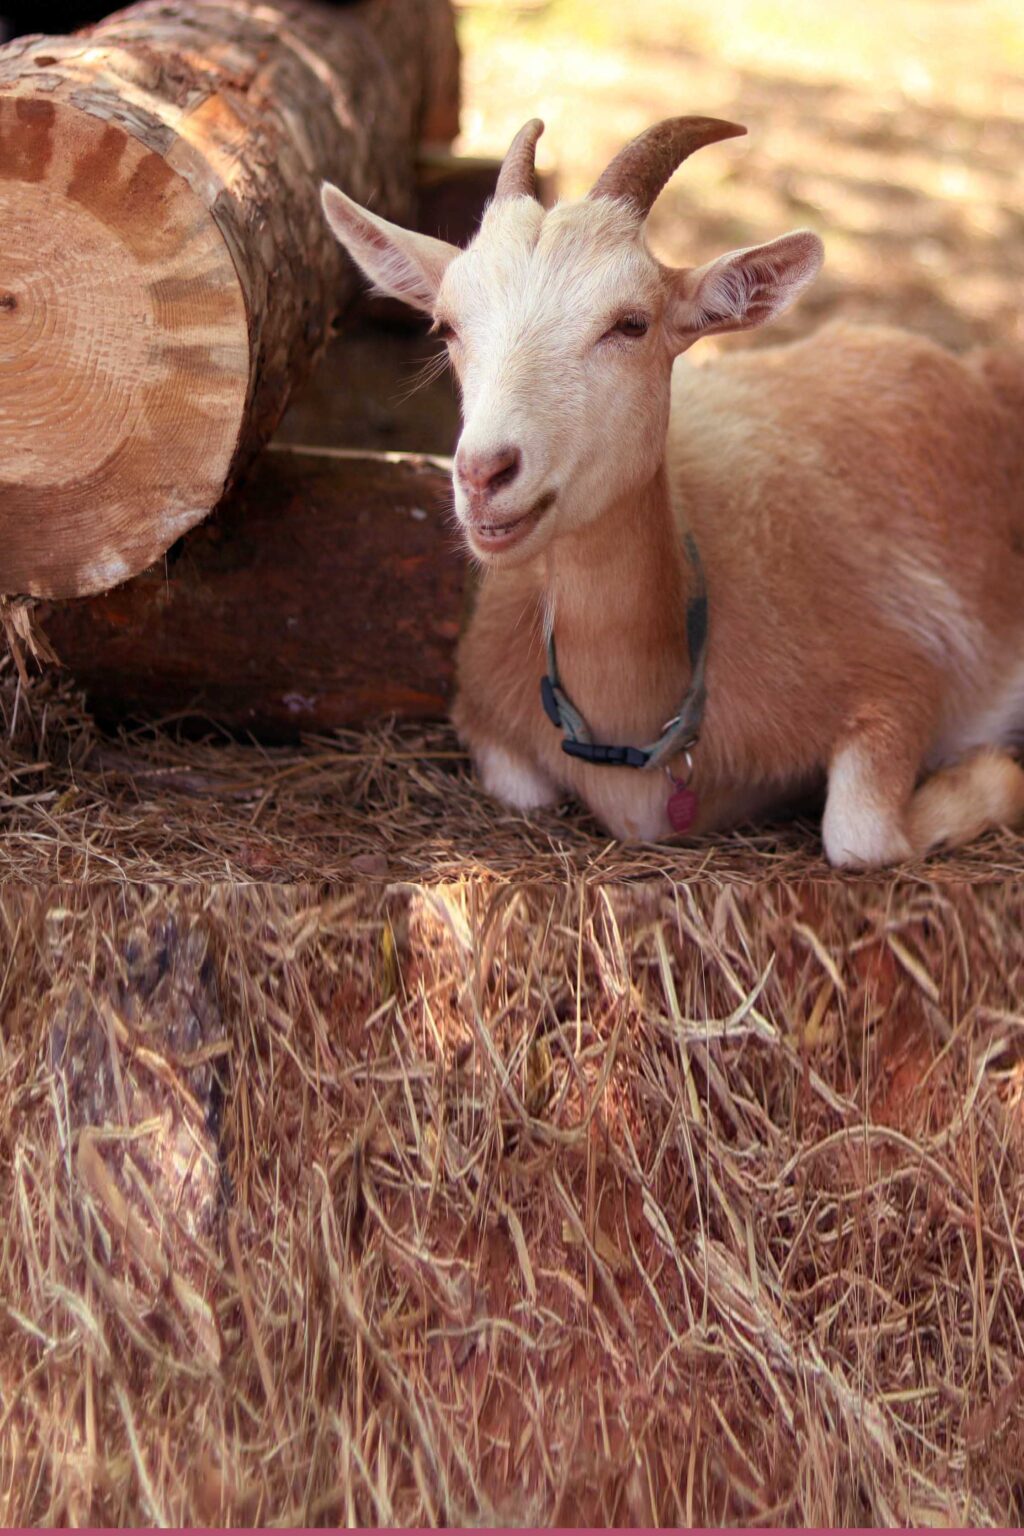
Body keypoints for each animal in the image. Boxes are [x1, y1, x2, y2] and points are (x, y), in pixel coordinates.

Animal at [322, 117, 1024, 867]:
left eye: (631, 324)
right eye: (447, 327)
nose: (484, 473)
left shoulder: (901, 675)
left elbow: (857, 832)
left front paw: (996, 774)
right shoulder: (484, 712)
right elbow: (521, 788)